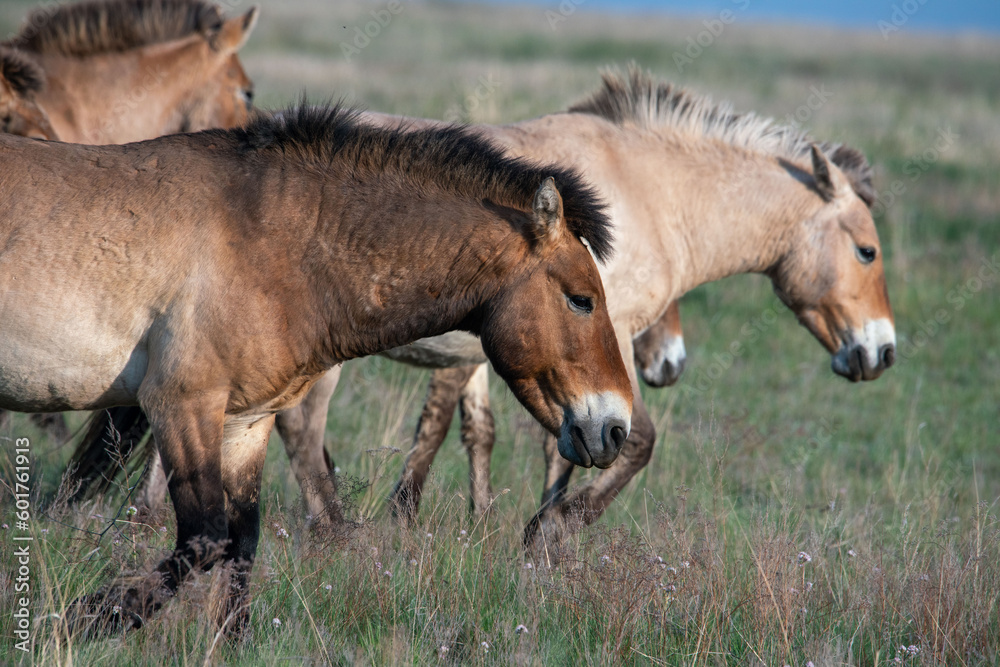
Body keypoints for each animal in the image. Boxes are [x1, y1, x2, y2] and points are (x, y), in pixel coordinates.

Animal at [0, 104, 633, 634]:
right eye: (581, 299)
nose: (615, 428)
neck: (268, 238)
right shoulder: (181, 404)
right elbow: (204, 540)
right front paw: (77, 620)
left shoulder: (245, 423)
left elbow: (241, 546)